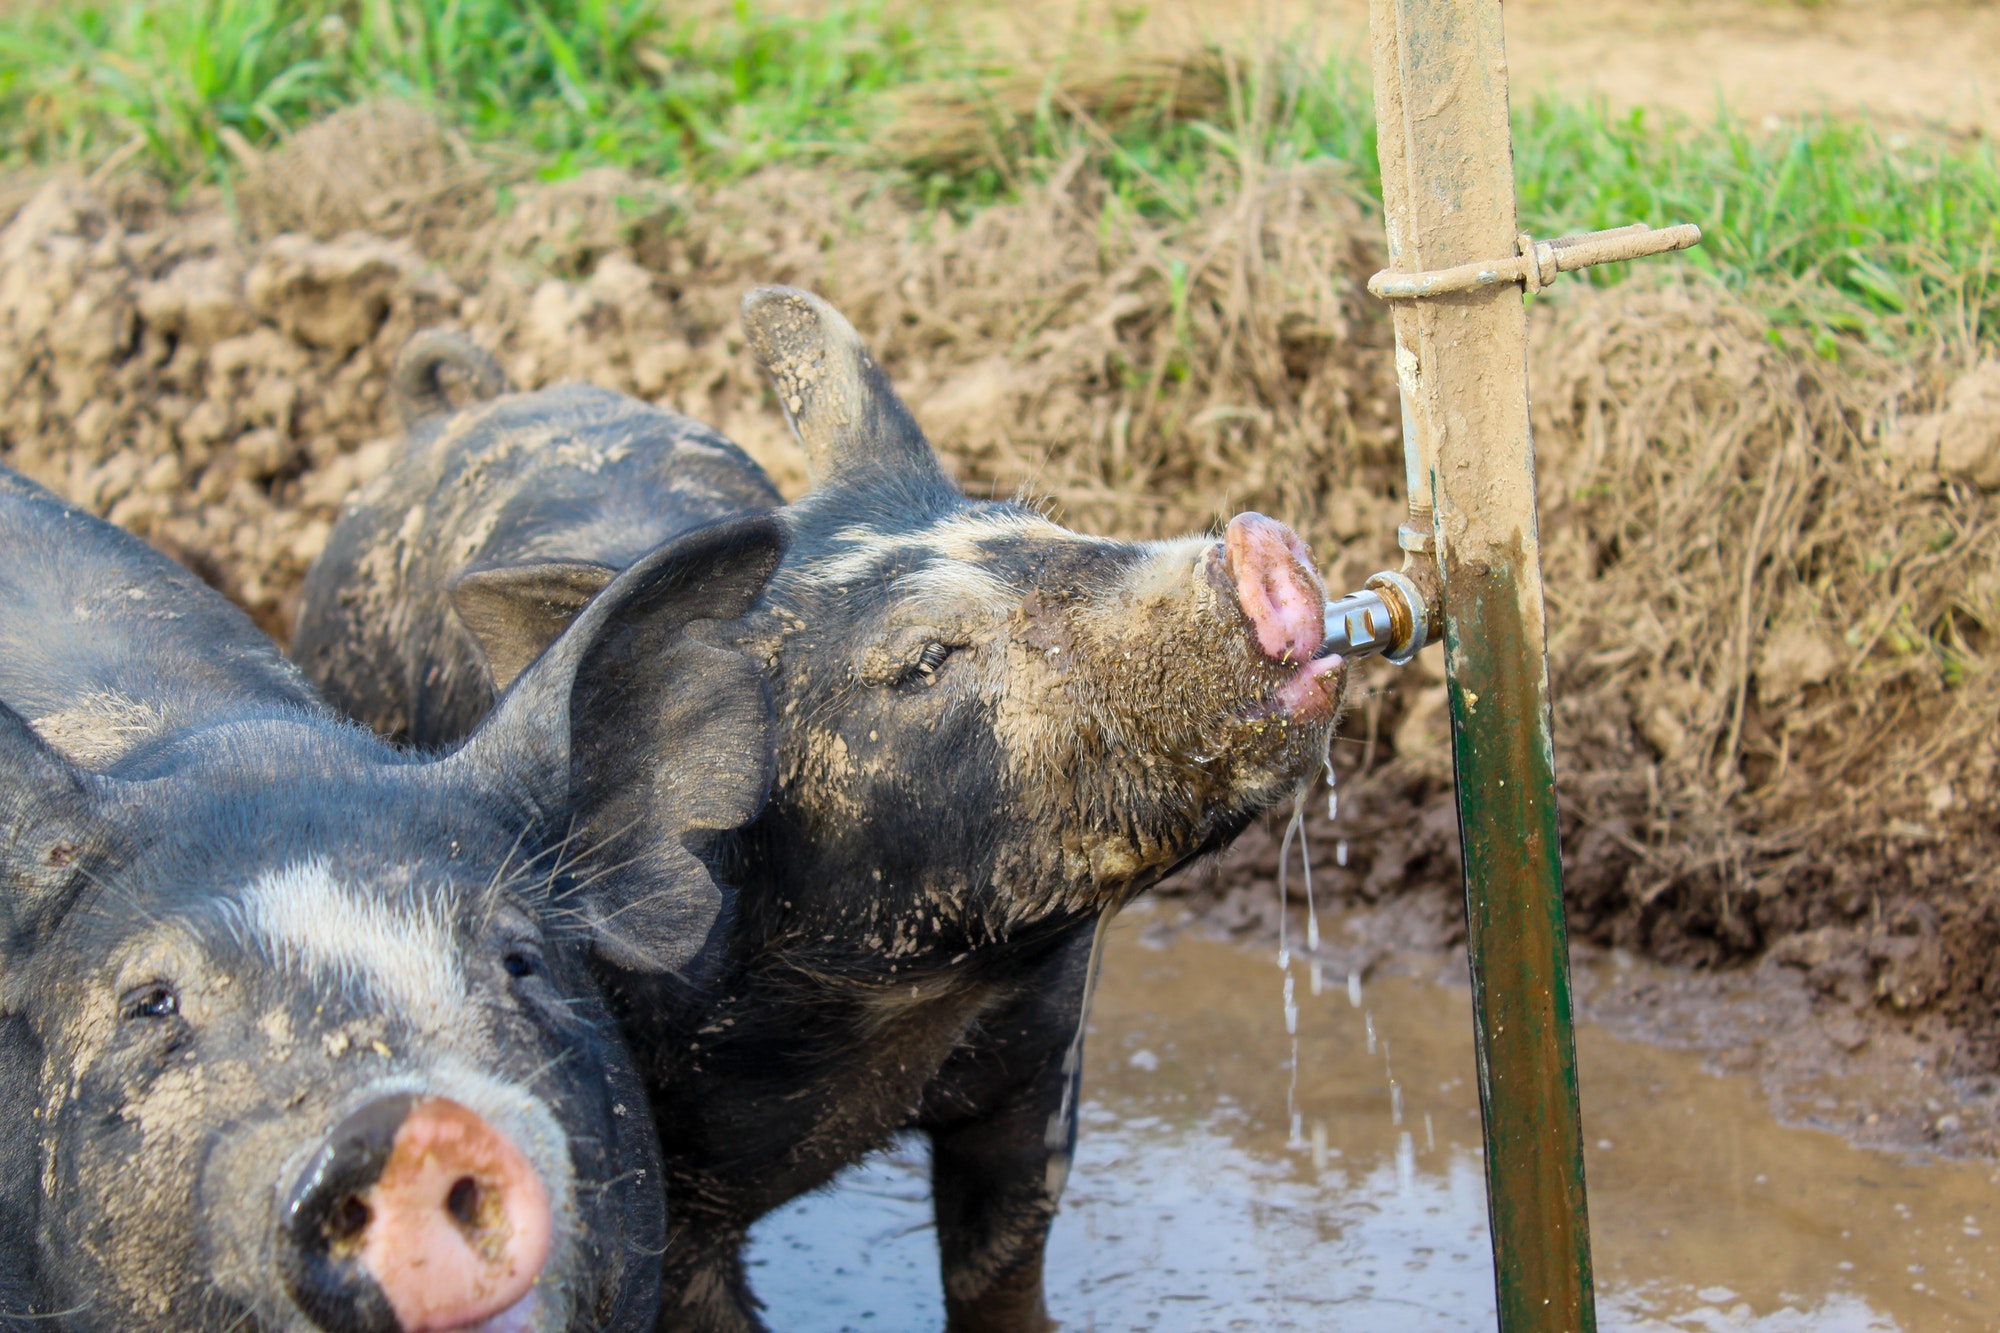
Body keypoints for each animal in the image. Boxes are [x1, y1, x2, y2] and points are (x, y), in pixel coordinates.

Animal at [291, 289, 1345, 1332]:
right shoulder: (657, 1184)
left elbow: (1001, 1269)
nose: (1259, 544)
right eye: (924, 659)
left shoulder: (1040, 1065)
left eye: (1048, 528)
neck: (886, 1015)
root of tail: (457, 409)